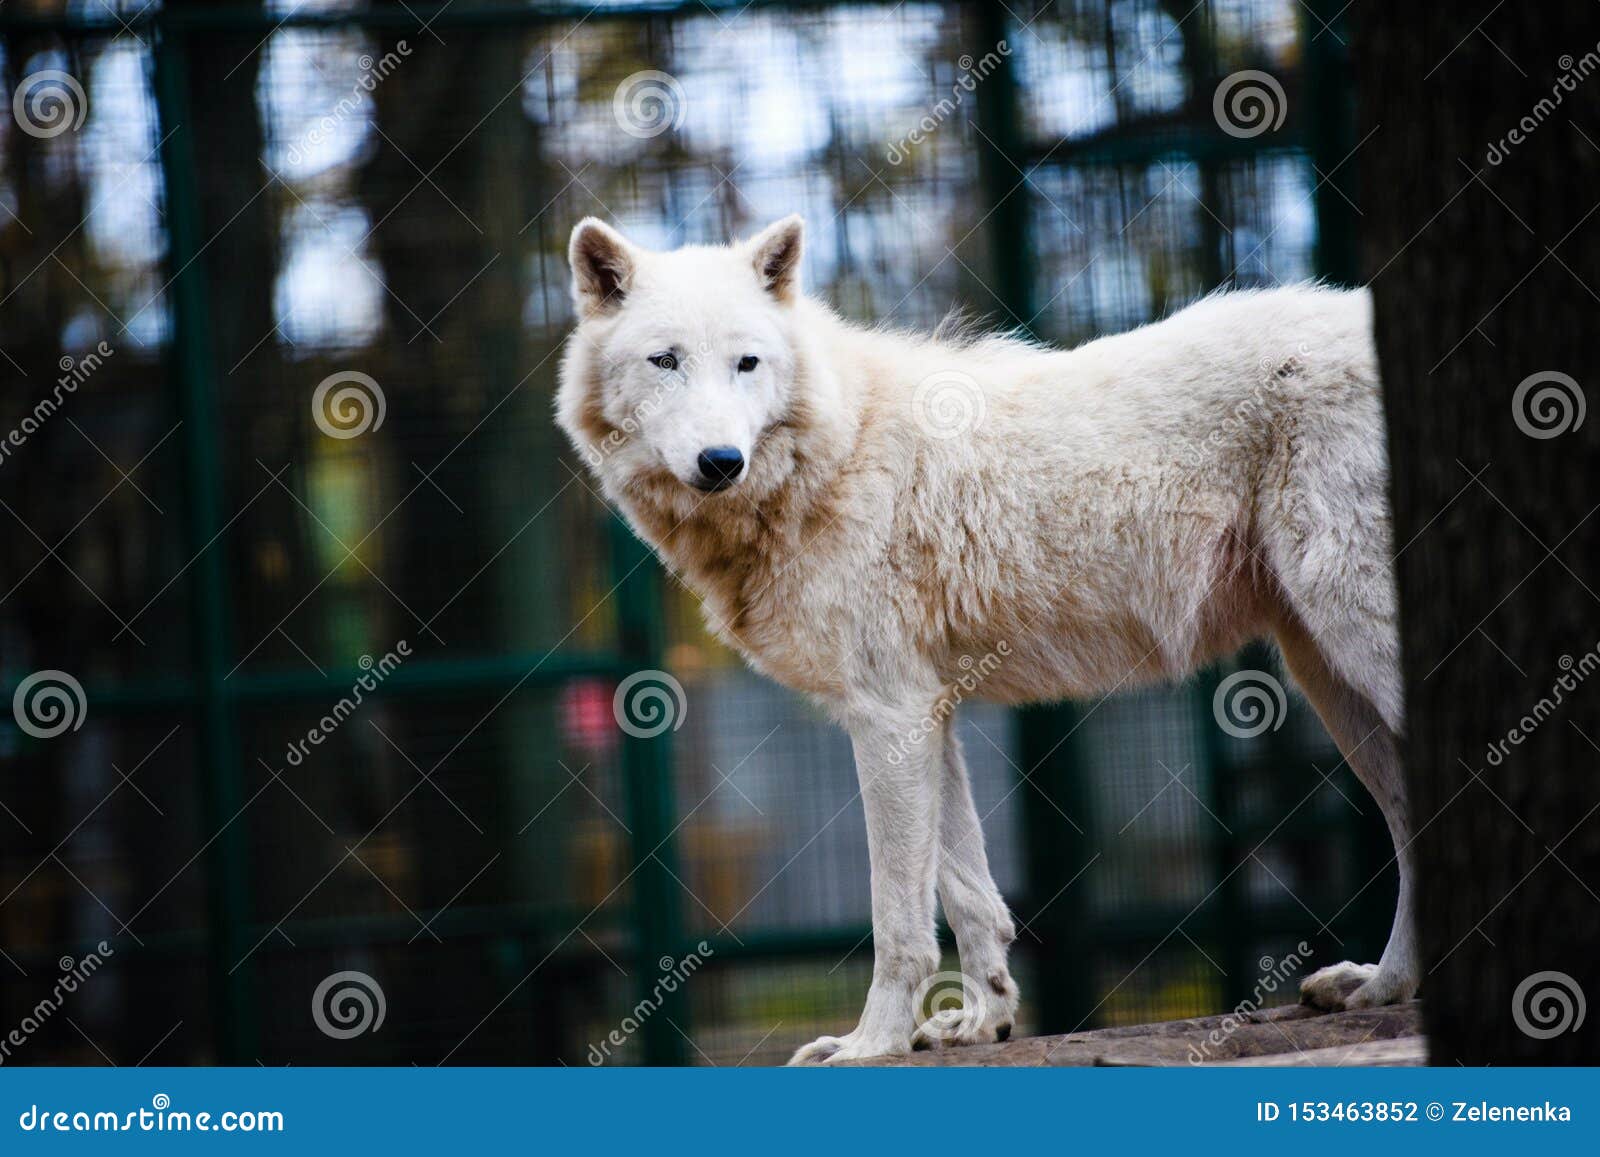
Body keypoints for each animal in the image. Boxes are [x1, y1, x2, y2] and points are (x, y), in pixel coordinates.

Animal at [556, 215, 1415, 1064]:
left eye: (747, 362)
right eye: (665, 360)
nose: (720, 461)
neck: (837, 448)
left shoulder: (888, 713)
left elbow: (899, 917)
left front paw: (872, 1043)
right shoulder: (928, 713)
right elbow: (971, 896)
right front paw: (981, 1022)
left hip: (1357, 645)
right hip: (1329, 678)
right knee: (1410, 823)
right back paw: (1381, 985)